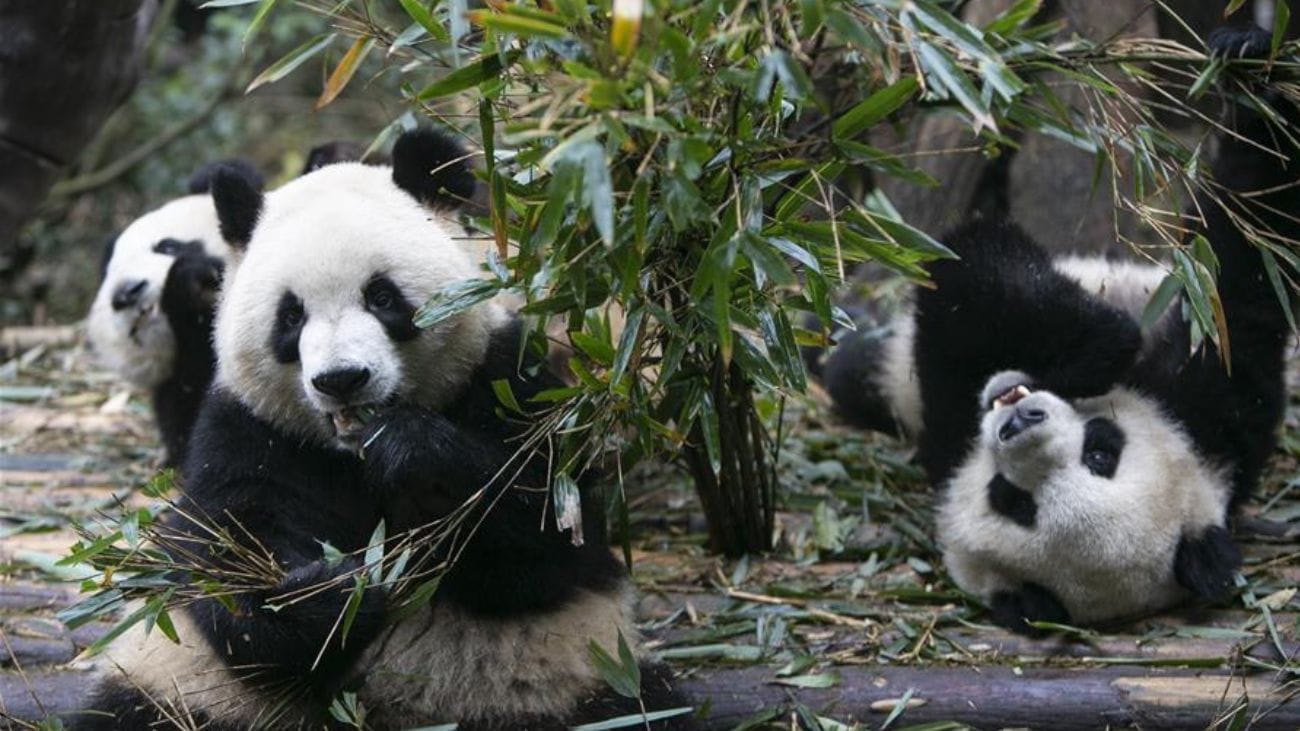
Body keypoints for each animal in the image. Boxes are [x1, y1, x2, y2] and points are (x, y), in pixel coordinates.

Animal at [817, 25, 1297, 632]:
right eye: (1103, 451)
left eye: (1015, 501)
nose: (1019, 418)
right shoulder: (1216, 412)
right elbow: (1239, 274)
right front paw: (1248, 57)